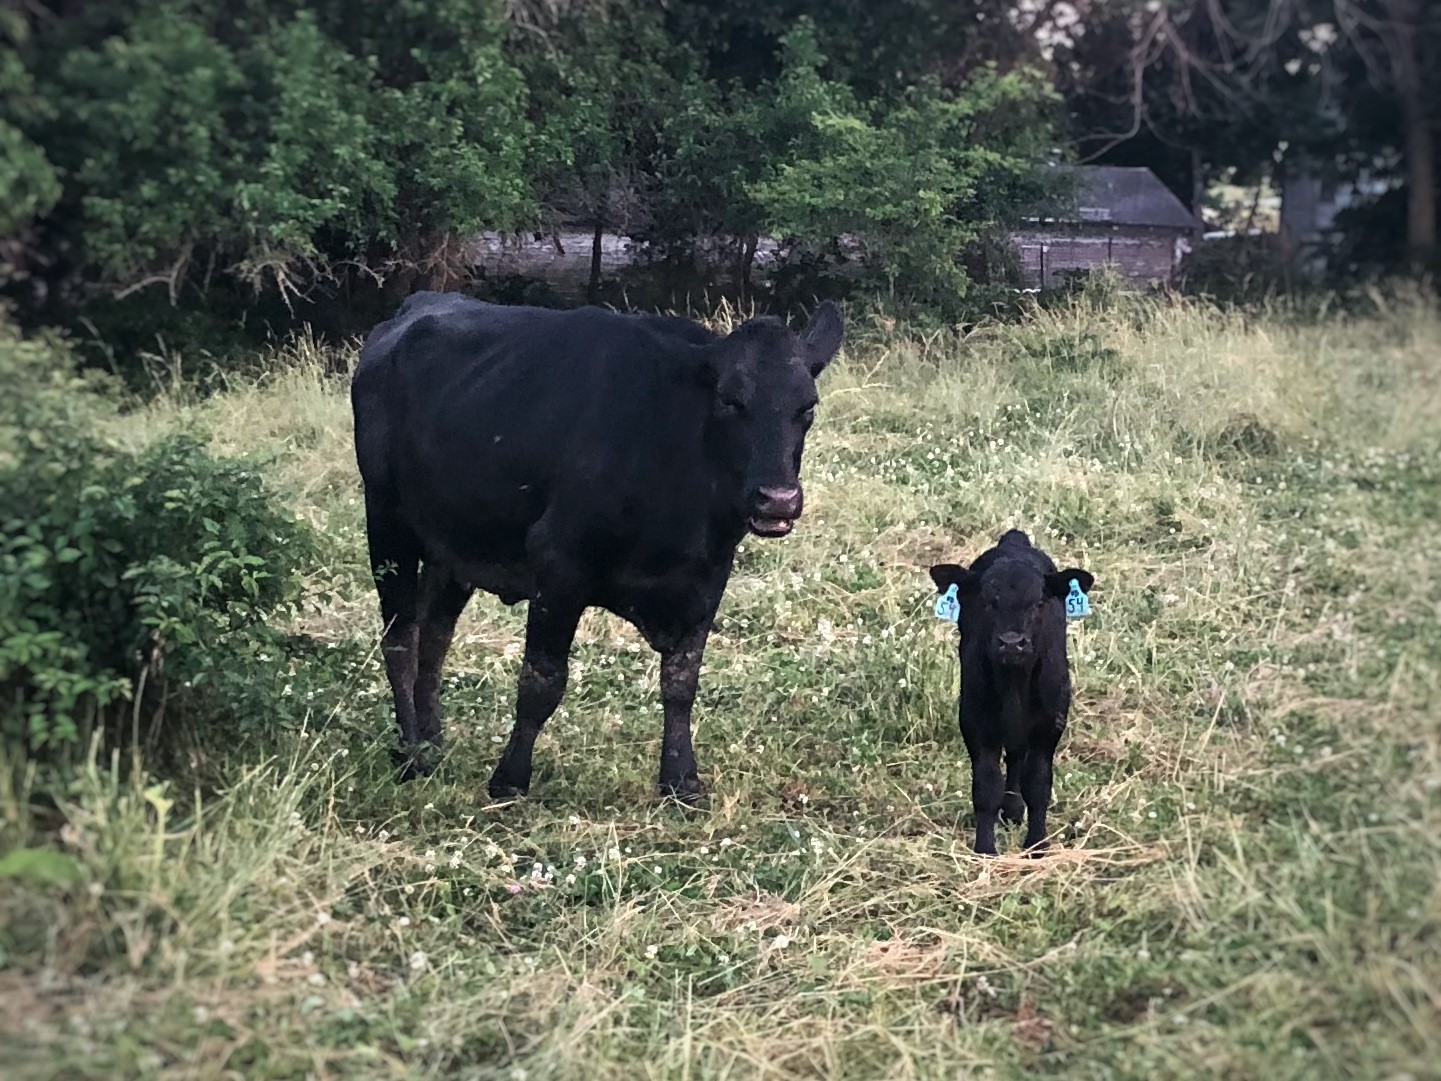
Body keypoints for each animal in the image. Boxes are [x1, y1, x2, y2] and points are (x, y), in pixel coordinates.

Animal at [351, 291, 843, 801]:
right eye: (730, 400)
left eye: (807, 407)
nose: (778, 499)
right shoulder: (558, 567)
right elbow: (542, 682)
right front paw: (509, 781)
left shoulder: (709, 577)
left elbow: (681, 682)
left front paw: (681, 780)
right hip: (387, 522)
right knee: (400, 639)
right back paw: (411, 752)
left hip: (454, 544)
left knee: (435, 637)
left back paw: (432, 742)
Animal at [928, 530, 1094, 855]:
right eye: (986, 601)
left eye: (1039, 601)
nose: (1011, 643)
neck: (1013, 683)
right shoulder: (975, 721)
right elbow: (986, 786)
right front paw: (985, 849)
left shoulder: (1050, 722)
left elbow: (1038, 784)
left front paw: (1037, 846)